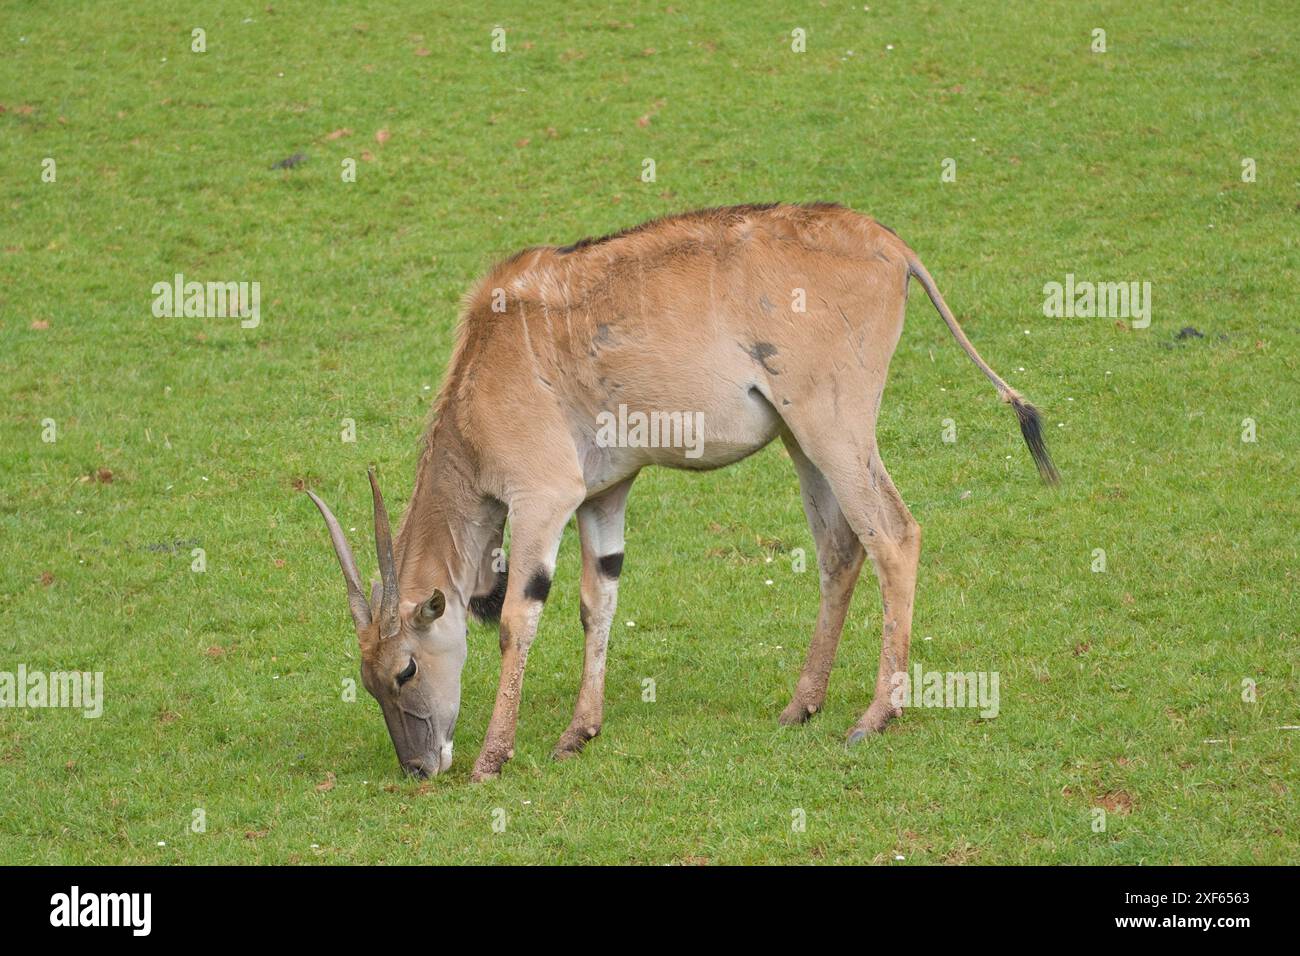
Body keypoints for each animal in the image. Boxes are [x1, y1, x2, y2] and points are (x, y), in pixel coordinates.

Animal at [307, 203, 1058, 782]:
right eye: (369, 680)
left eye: (405, 670)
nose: (418, 766)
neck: (488, 358)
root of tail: (888, 244)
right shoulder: (604, 495)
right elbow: (597, 602)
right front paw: (578, 733)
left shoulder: (542, 497)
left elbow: (522, 617)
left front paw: (494, 758)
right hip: (802, 441)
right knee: (839, 550)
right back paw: (801, 705)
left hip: (835, 429)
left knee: (893, 536)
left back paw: (876, 715)